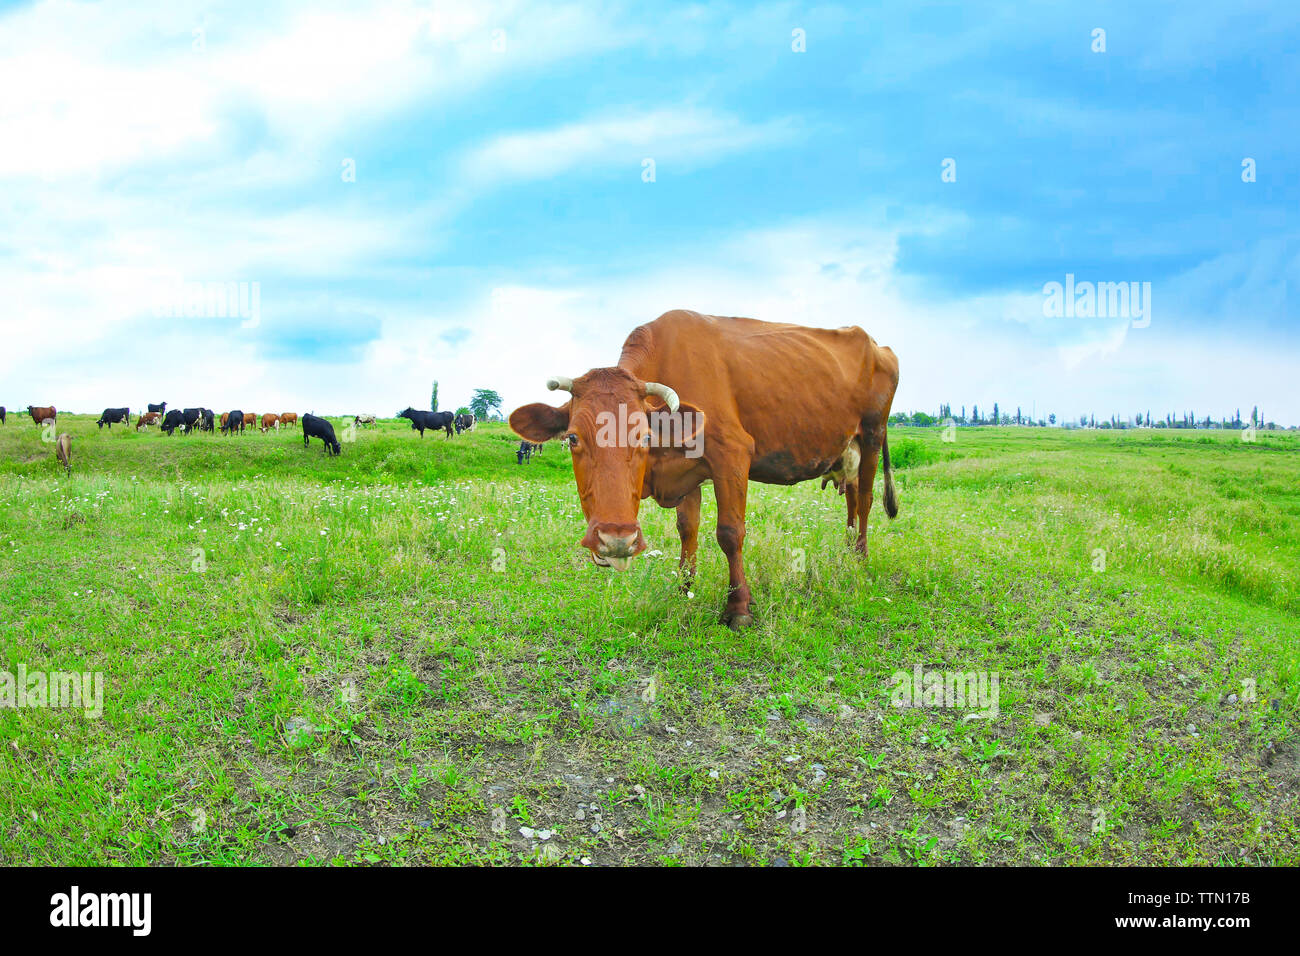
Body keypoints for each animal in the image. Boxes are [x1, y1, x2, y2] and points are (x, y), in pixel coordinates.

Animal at [508, 310, 900, 628]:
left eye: (644, 435)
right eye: (572, 438)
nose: (616, 540)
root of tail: (877, 344)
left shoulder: (732, 454)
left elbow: (729, 532)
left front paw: (739, 607)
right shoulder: (686, 472)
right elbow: (688, 529)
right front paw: (684, 587)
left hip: (872, 435)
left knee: (865, 500)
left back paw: (860, 559)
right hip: (847, 451)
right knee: (851, 499)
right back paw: (847, 550)